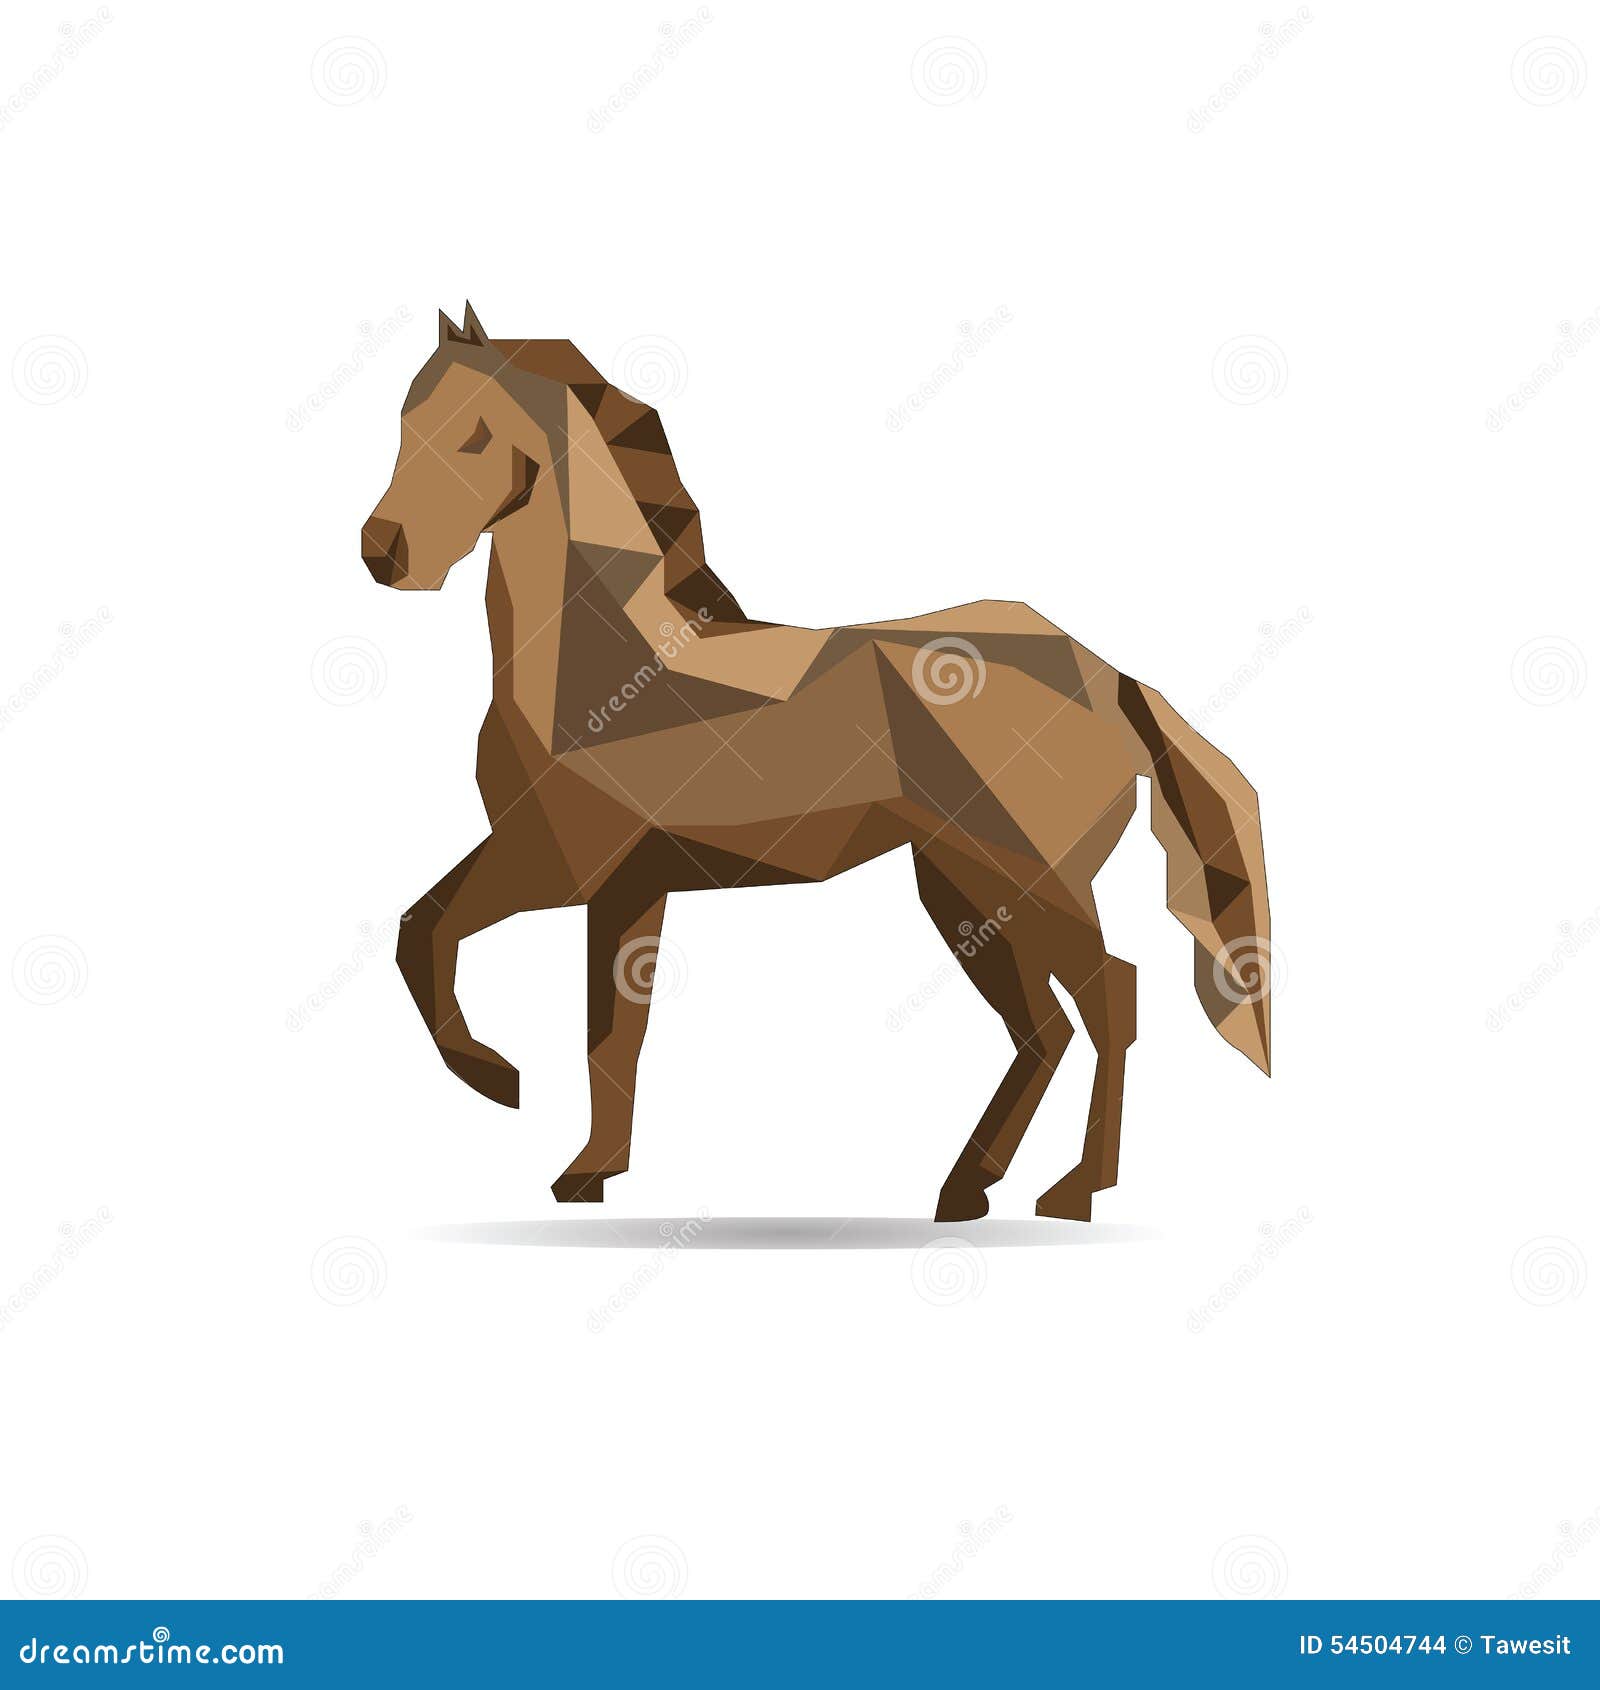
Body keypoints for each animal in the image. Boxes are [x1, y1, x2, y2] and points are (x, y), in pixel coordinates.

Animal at [361, 304, 1272, 1221]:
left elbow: (424, 932)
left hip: (1037, 882)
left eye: (477, 435)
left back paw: (1074, 1191)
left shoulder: (556, 862)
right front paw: (590, 1172)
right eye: (403, 421)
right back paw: (965, 1189)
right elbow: (609, 1036)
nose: (383, 554)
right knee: (1043, 1029)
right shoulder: (626, 890)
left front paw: (499, 1080)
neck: (608, 669)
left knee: (1110, 1000)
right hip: (967, 889)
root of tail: (1106, 678)